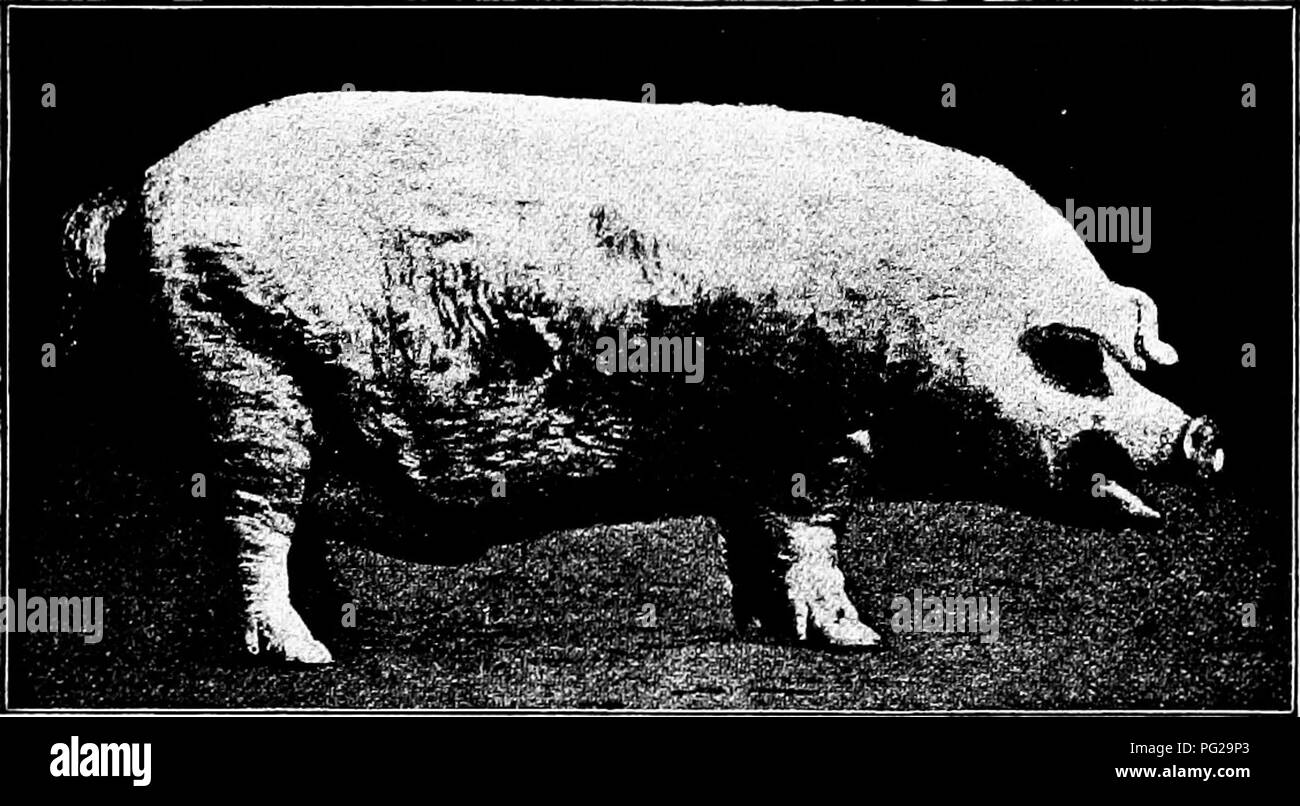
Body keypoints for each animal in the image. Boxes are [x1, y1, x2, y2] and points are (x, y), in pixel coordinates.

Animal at [60, 91, 1223, 664]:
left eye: (1139, 358)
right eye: (1079, 363)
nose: (1203, 430)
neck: (932, 328)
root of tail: (139, 188)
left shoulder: (758, 458)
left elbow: (758, 539)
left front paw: (765, 630)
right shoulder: (811, 437)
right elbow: (810, 536)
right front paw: (857, 638)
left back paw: (326, 630)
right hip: (245, 378)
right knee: (252, 523)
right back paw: (303, 658)